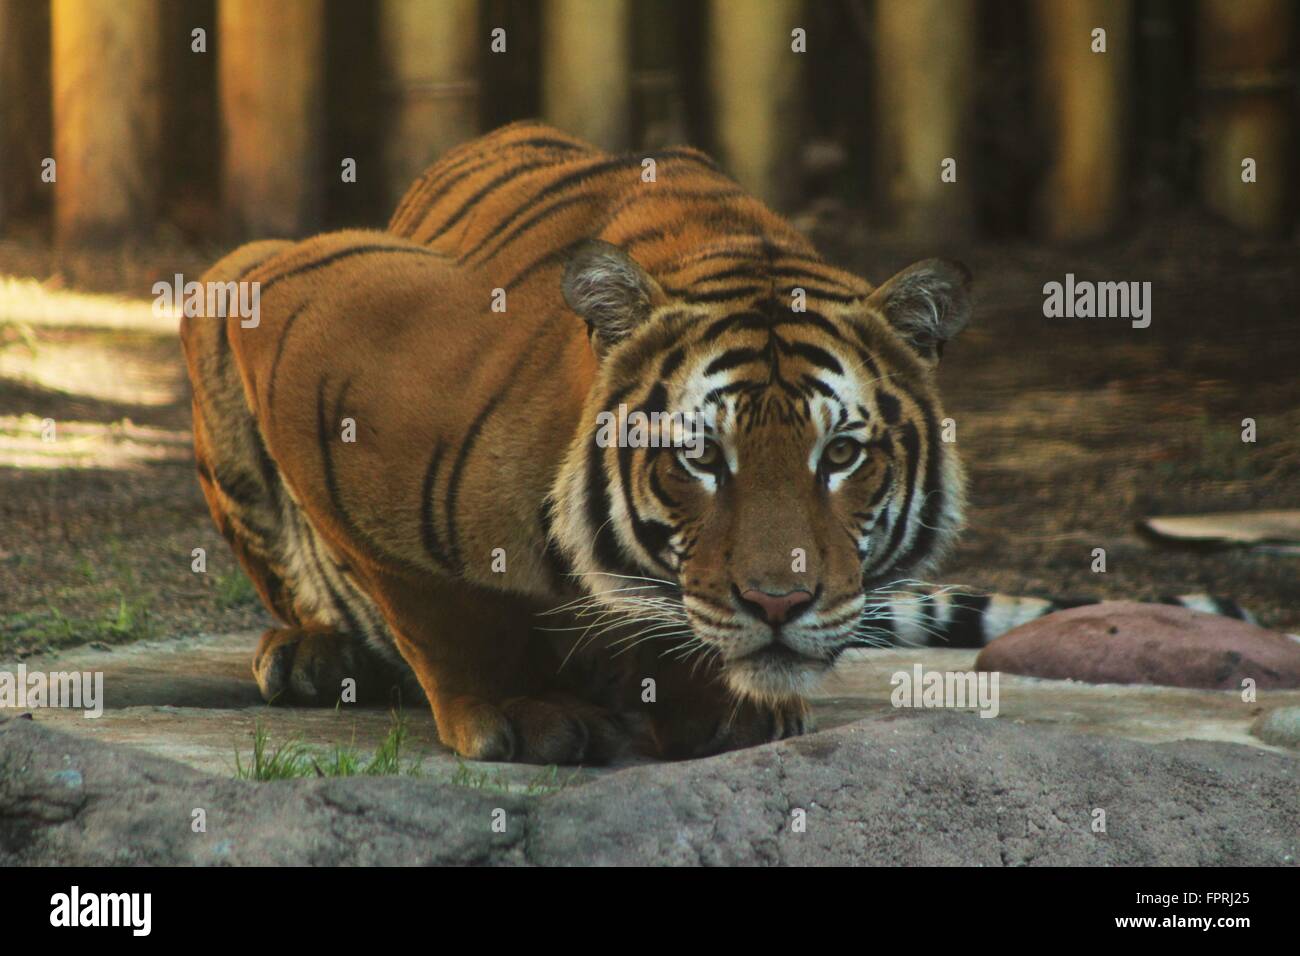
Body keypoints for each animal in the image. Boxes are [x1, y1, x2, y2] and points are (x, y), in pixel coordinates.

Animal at [180, 121, 1251, 764]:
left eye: (841, 455)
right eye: (700, 457)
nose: (780, 603)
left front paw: (723, 702)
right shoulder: (304, 318)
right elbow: (434, 598)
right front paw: (520, 711)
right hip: (225, 295)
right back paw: (319, 654)